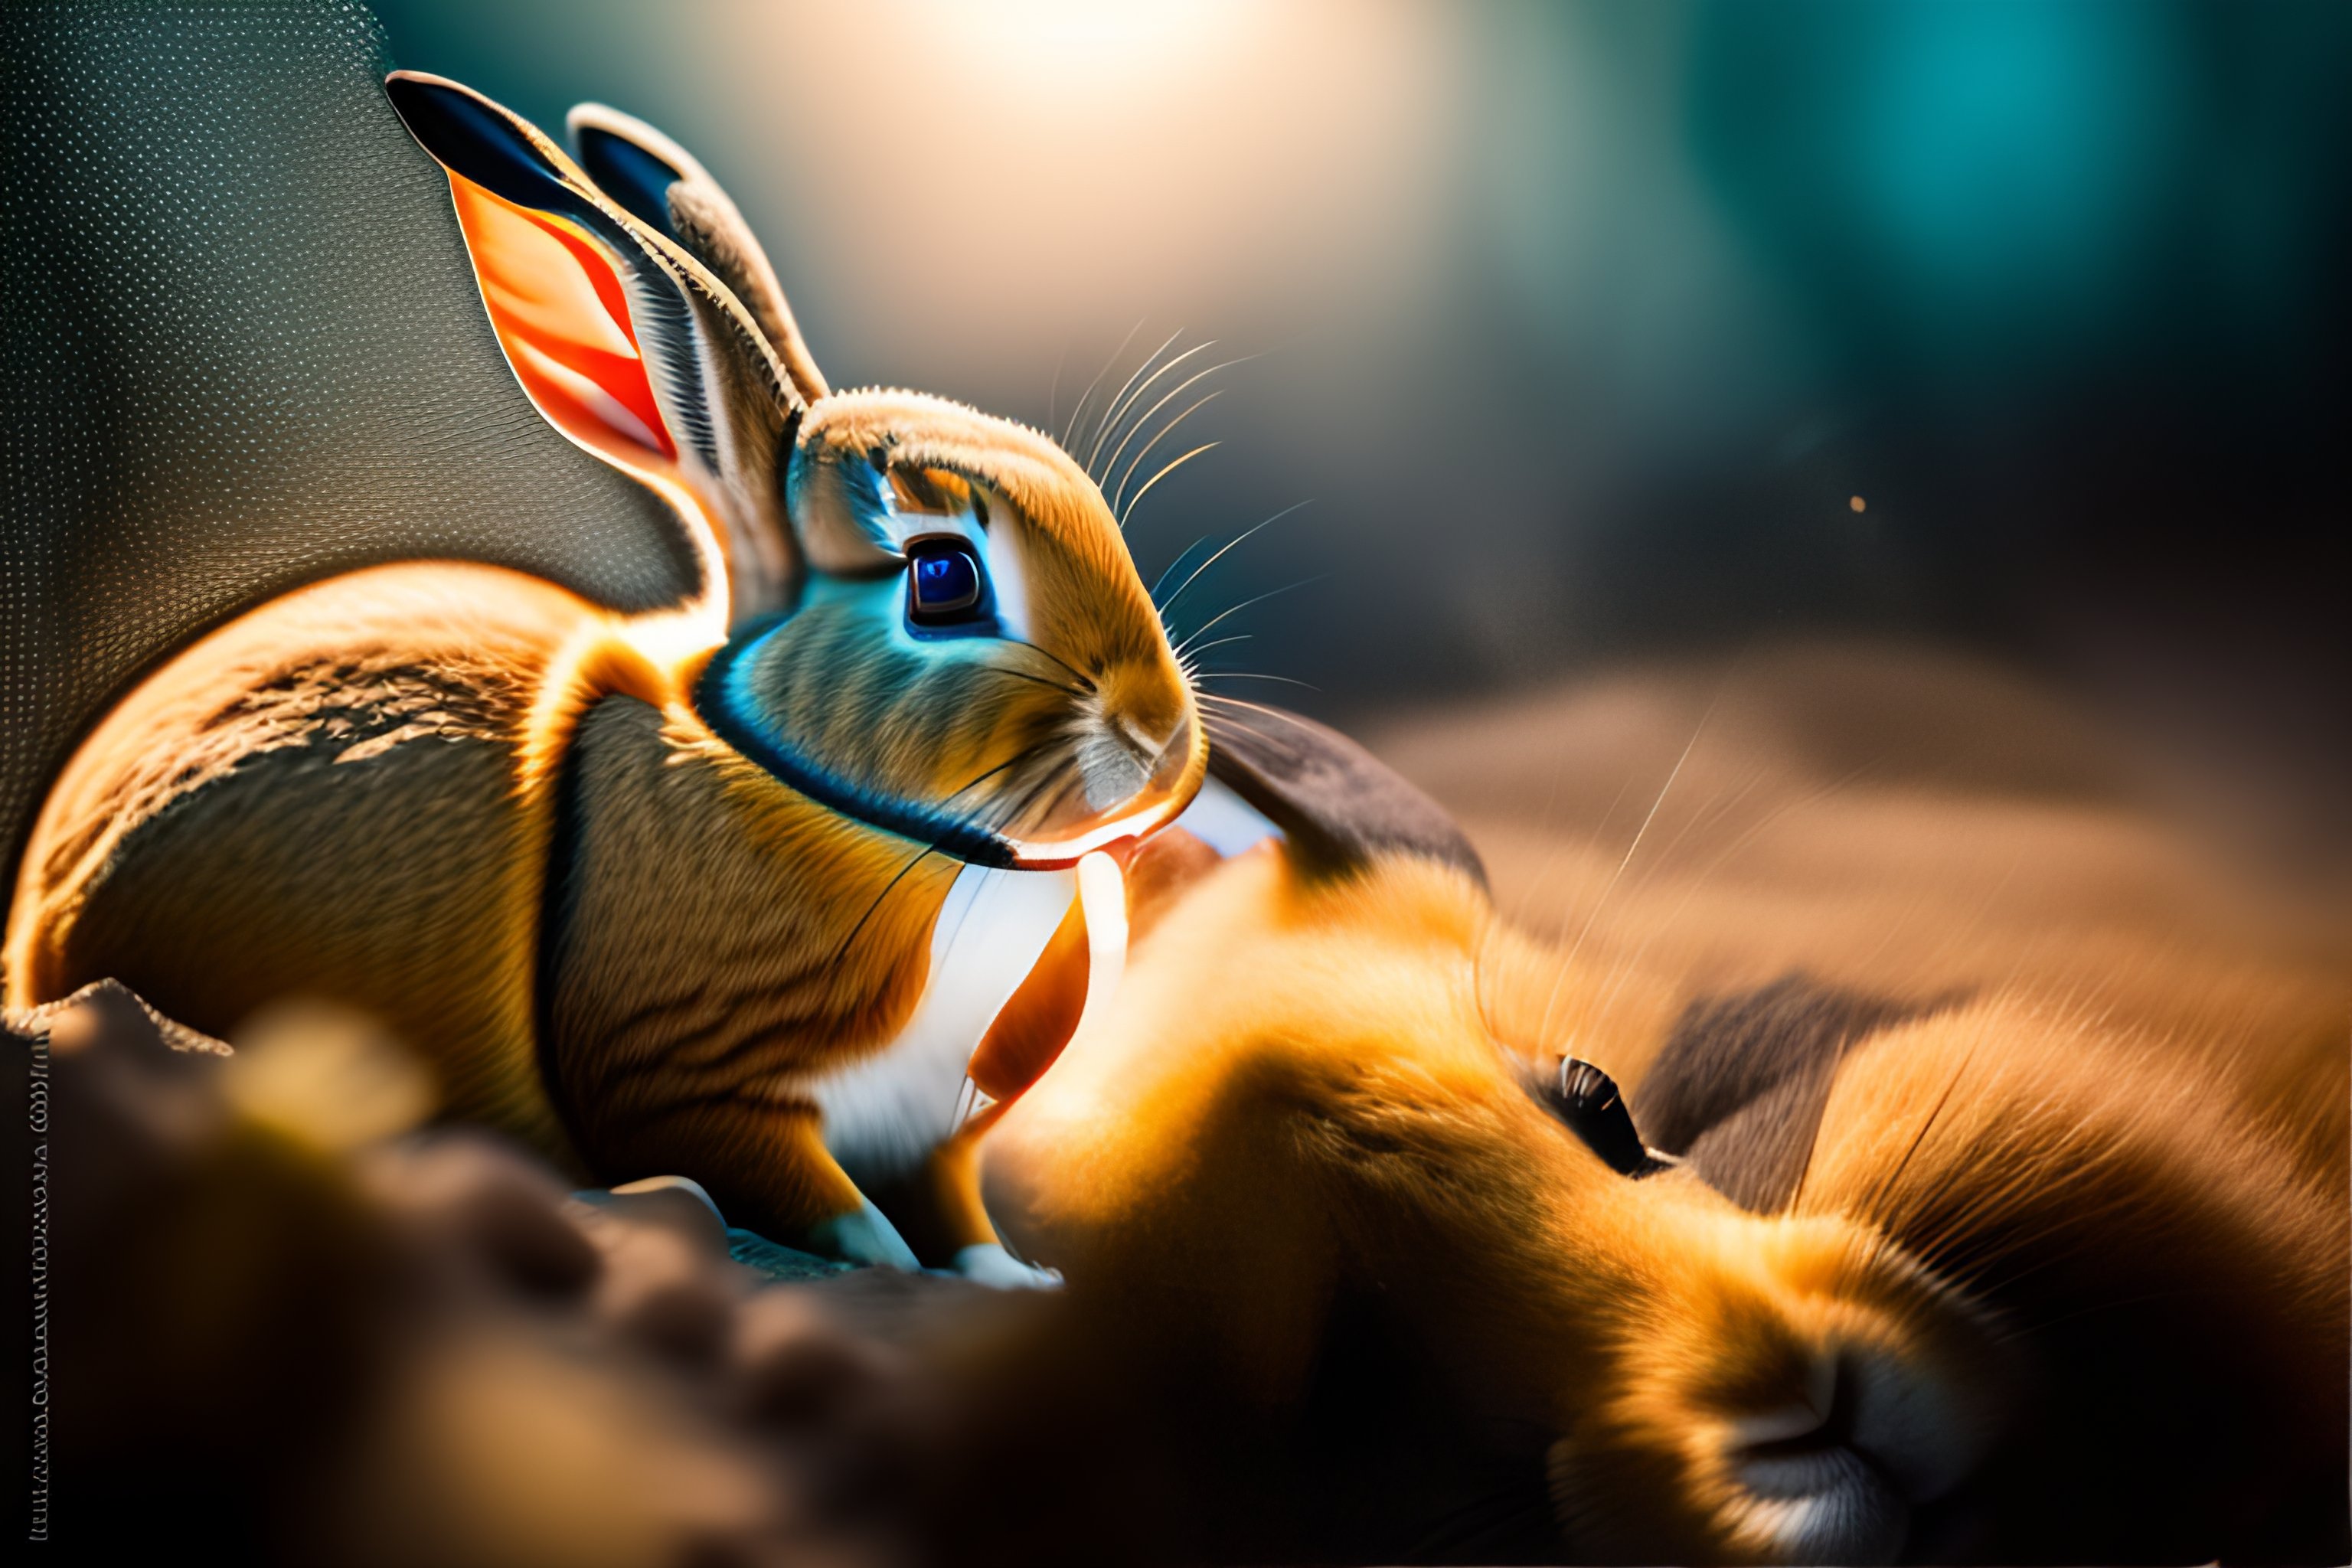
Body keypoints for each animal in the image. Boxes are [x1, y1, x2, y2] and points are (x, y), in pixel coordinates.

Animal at [3, 72, 1209, 1277]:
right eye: (943, 580)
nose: (1160, 740)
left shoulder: (936, 1145)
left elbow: (956, 1222)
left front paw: (1012, 1275)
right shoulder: (696, 1090)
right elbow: (830, 1208)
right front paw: (884, 1263)